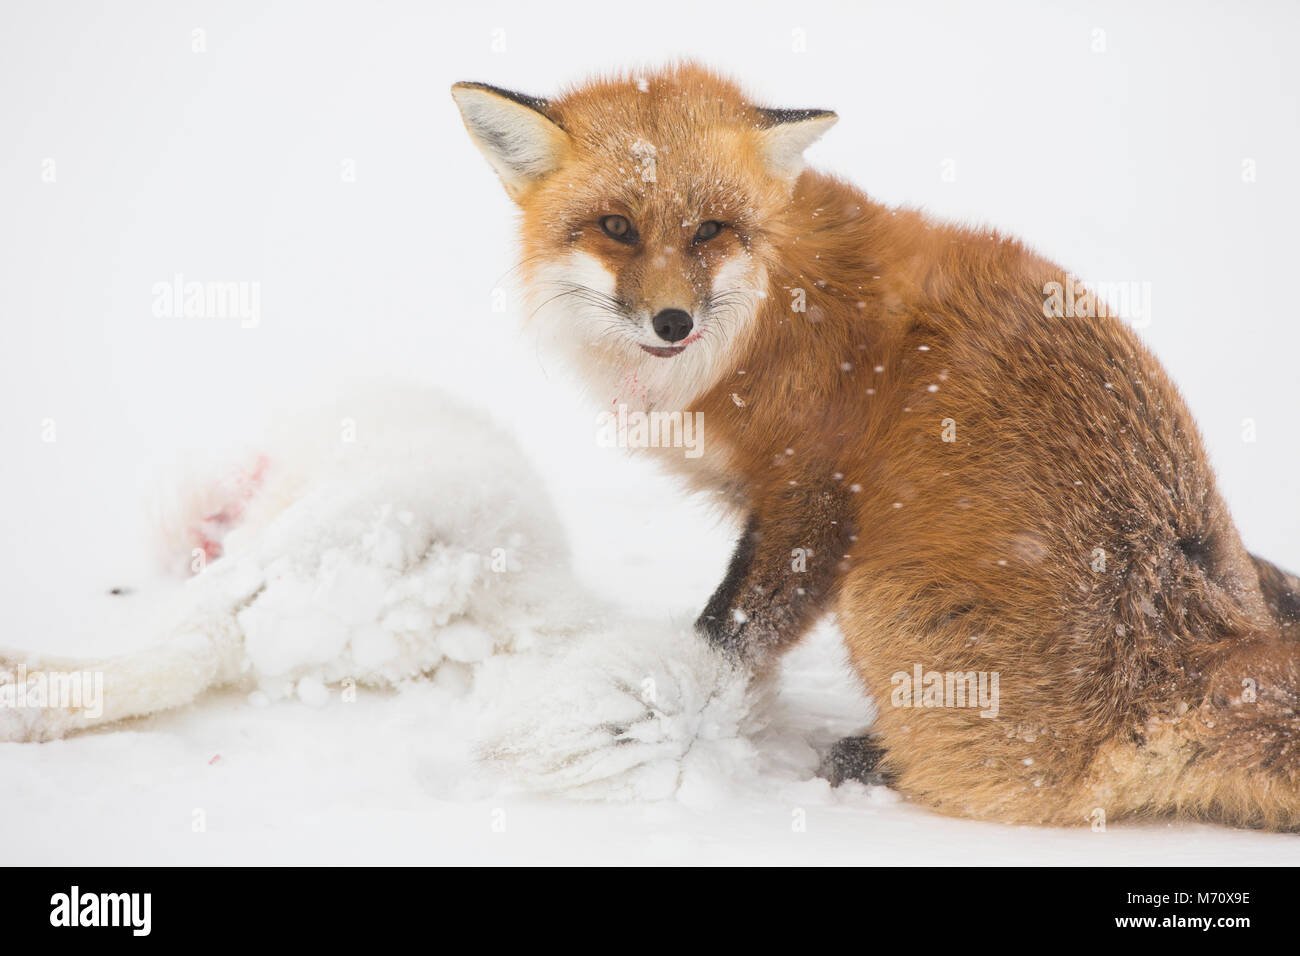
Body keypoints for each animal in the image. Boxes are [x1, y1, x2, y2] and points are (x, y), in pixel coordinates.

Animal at [452, 62, 1300, 830]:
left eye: (710, 230)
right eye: (617, 228)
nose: (672, 321)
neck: (764, 318)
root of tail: (1195, 662)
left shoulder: (815, 501)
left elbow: (729, 636)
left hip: (875, 591)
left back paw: (869, 761)